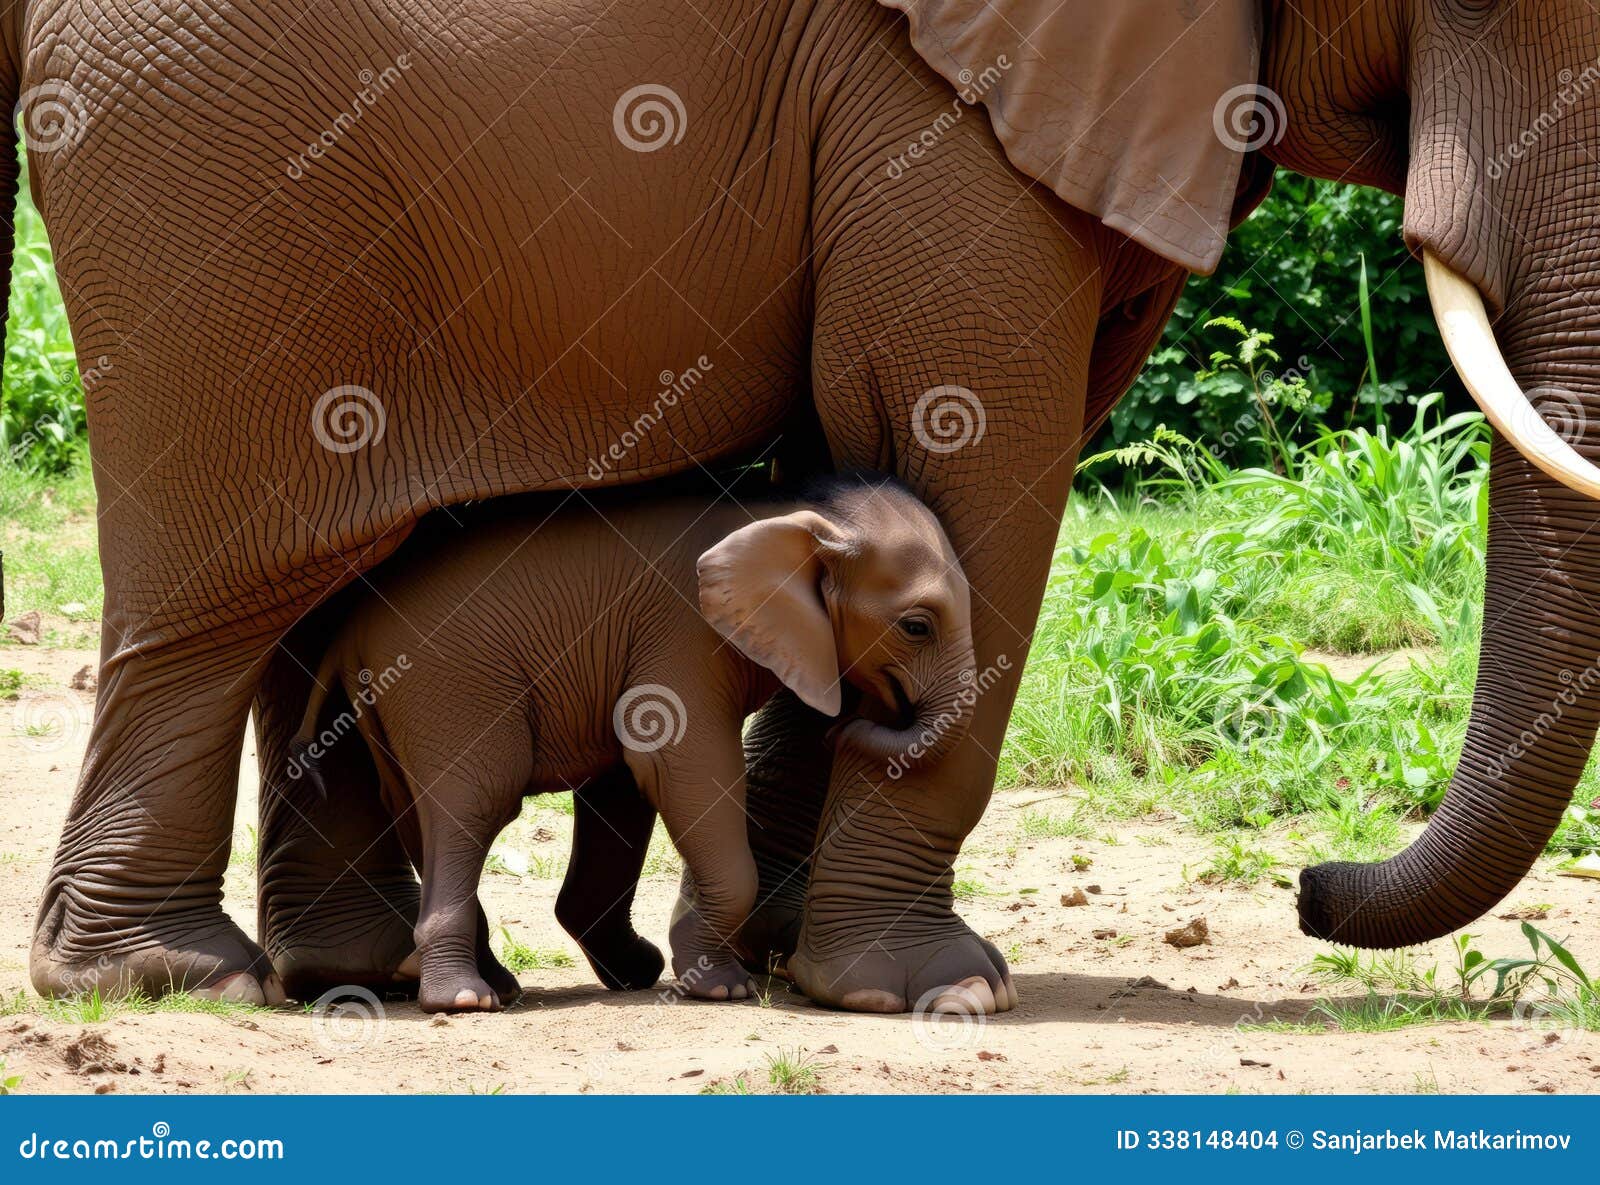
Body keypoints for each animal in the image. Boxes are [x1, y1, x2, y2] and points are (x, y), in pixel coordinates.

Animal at [288, 472, 976, 1011]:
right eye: (916, 626)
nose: (845, 725)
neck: (798, 511)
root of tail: (348, 634)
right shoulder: (682, 632)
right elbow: (677, 761)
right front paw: (720, 989)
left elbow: (624, 782)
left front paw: (657, 972)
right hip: (449, 684)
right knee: (476, 803)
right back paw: (465, 999)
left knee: (415, 811)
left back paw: (499, 984)